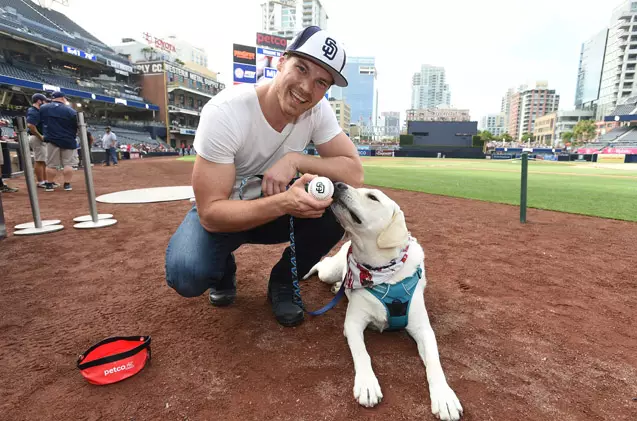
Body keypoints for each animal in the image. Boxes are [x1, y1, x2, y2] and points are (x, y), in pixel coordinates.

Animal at [304, 182, 462, 418]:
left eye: (372, 197)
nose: (339, 184)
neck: (381, 272)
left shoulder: (424, 329)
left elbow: (434, 362)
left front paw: (444, 397)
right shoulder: (352, 323)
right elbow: (362, 353)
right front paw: (367, 385)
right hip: (329, 271)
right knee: (323, 263)